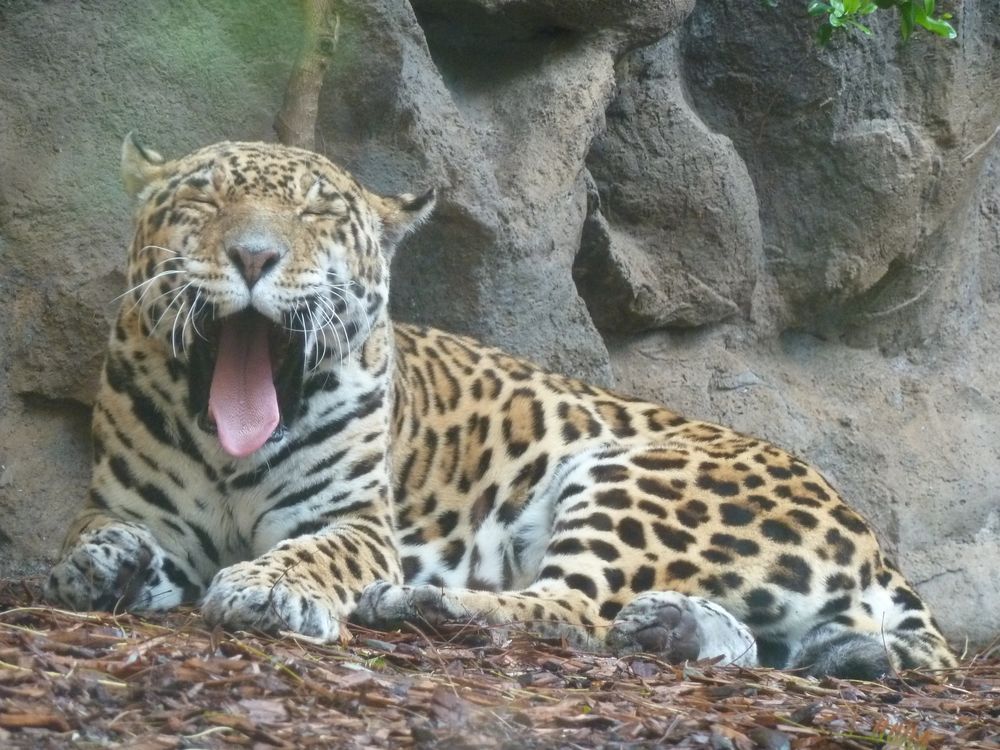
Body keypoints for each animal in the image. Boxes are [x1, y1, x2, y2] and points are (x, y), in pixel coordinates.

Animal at [46, 136, 957, 680]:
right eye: (202, 205)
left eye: (315, 214)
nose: (254, 256)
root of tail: (870, 536)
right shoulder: (133, 507)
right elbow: (90, 531)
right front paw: (95, 565)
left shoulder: (353, 521)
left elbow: (313, 554)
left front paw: (268, 589)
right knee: (725, 637)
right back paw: (674, 628)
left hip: (626, 471)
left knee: (568, 607)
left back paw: (416, 601)